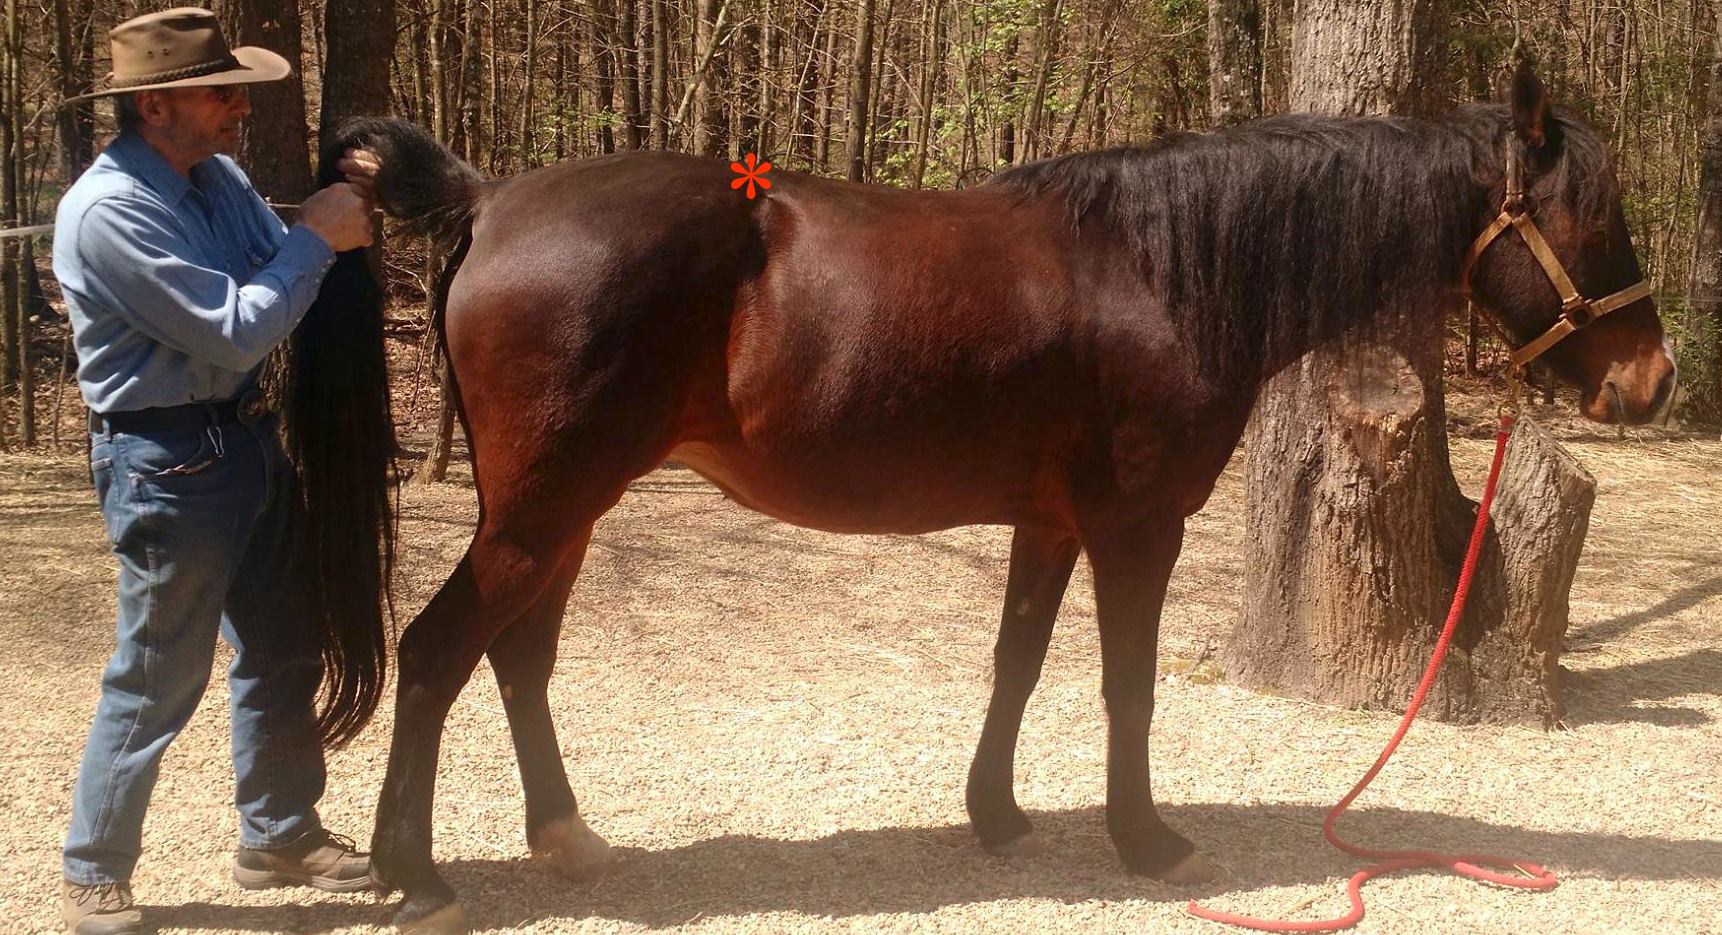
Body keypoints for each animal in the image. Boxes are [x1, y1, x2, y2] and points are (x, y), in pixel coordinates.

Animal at [287, 65, 1675, 932]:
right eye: (1594, 215)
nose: (1654, 380)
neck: (1155, 269)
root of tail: (491, 197)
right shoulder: (1135, 525)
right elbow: (1124, 682)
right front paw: (1144, 838)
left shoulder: (1048, 521)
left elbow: (1015, 662)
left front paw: (997, 813)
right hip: (539, 508)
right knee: (436, 651)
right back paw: (415, 874)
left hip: (567, 511)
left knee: (516, 658)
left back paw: (566, 833)